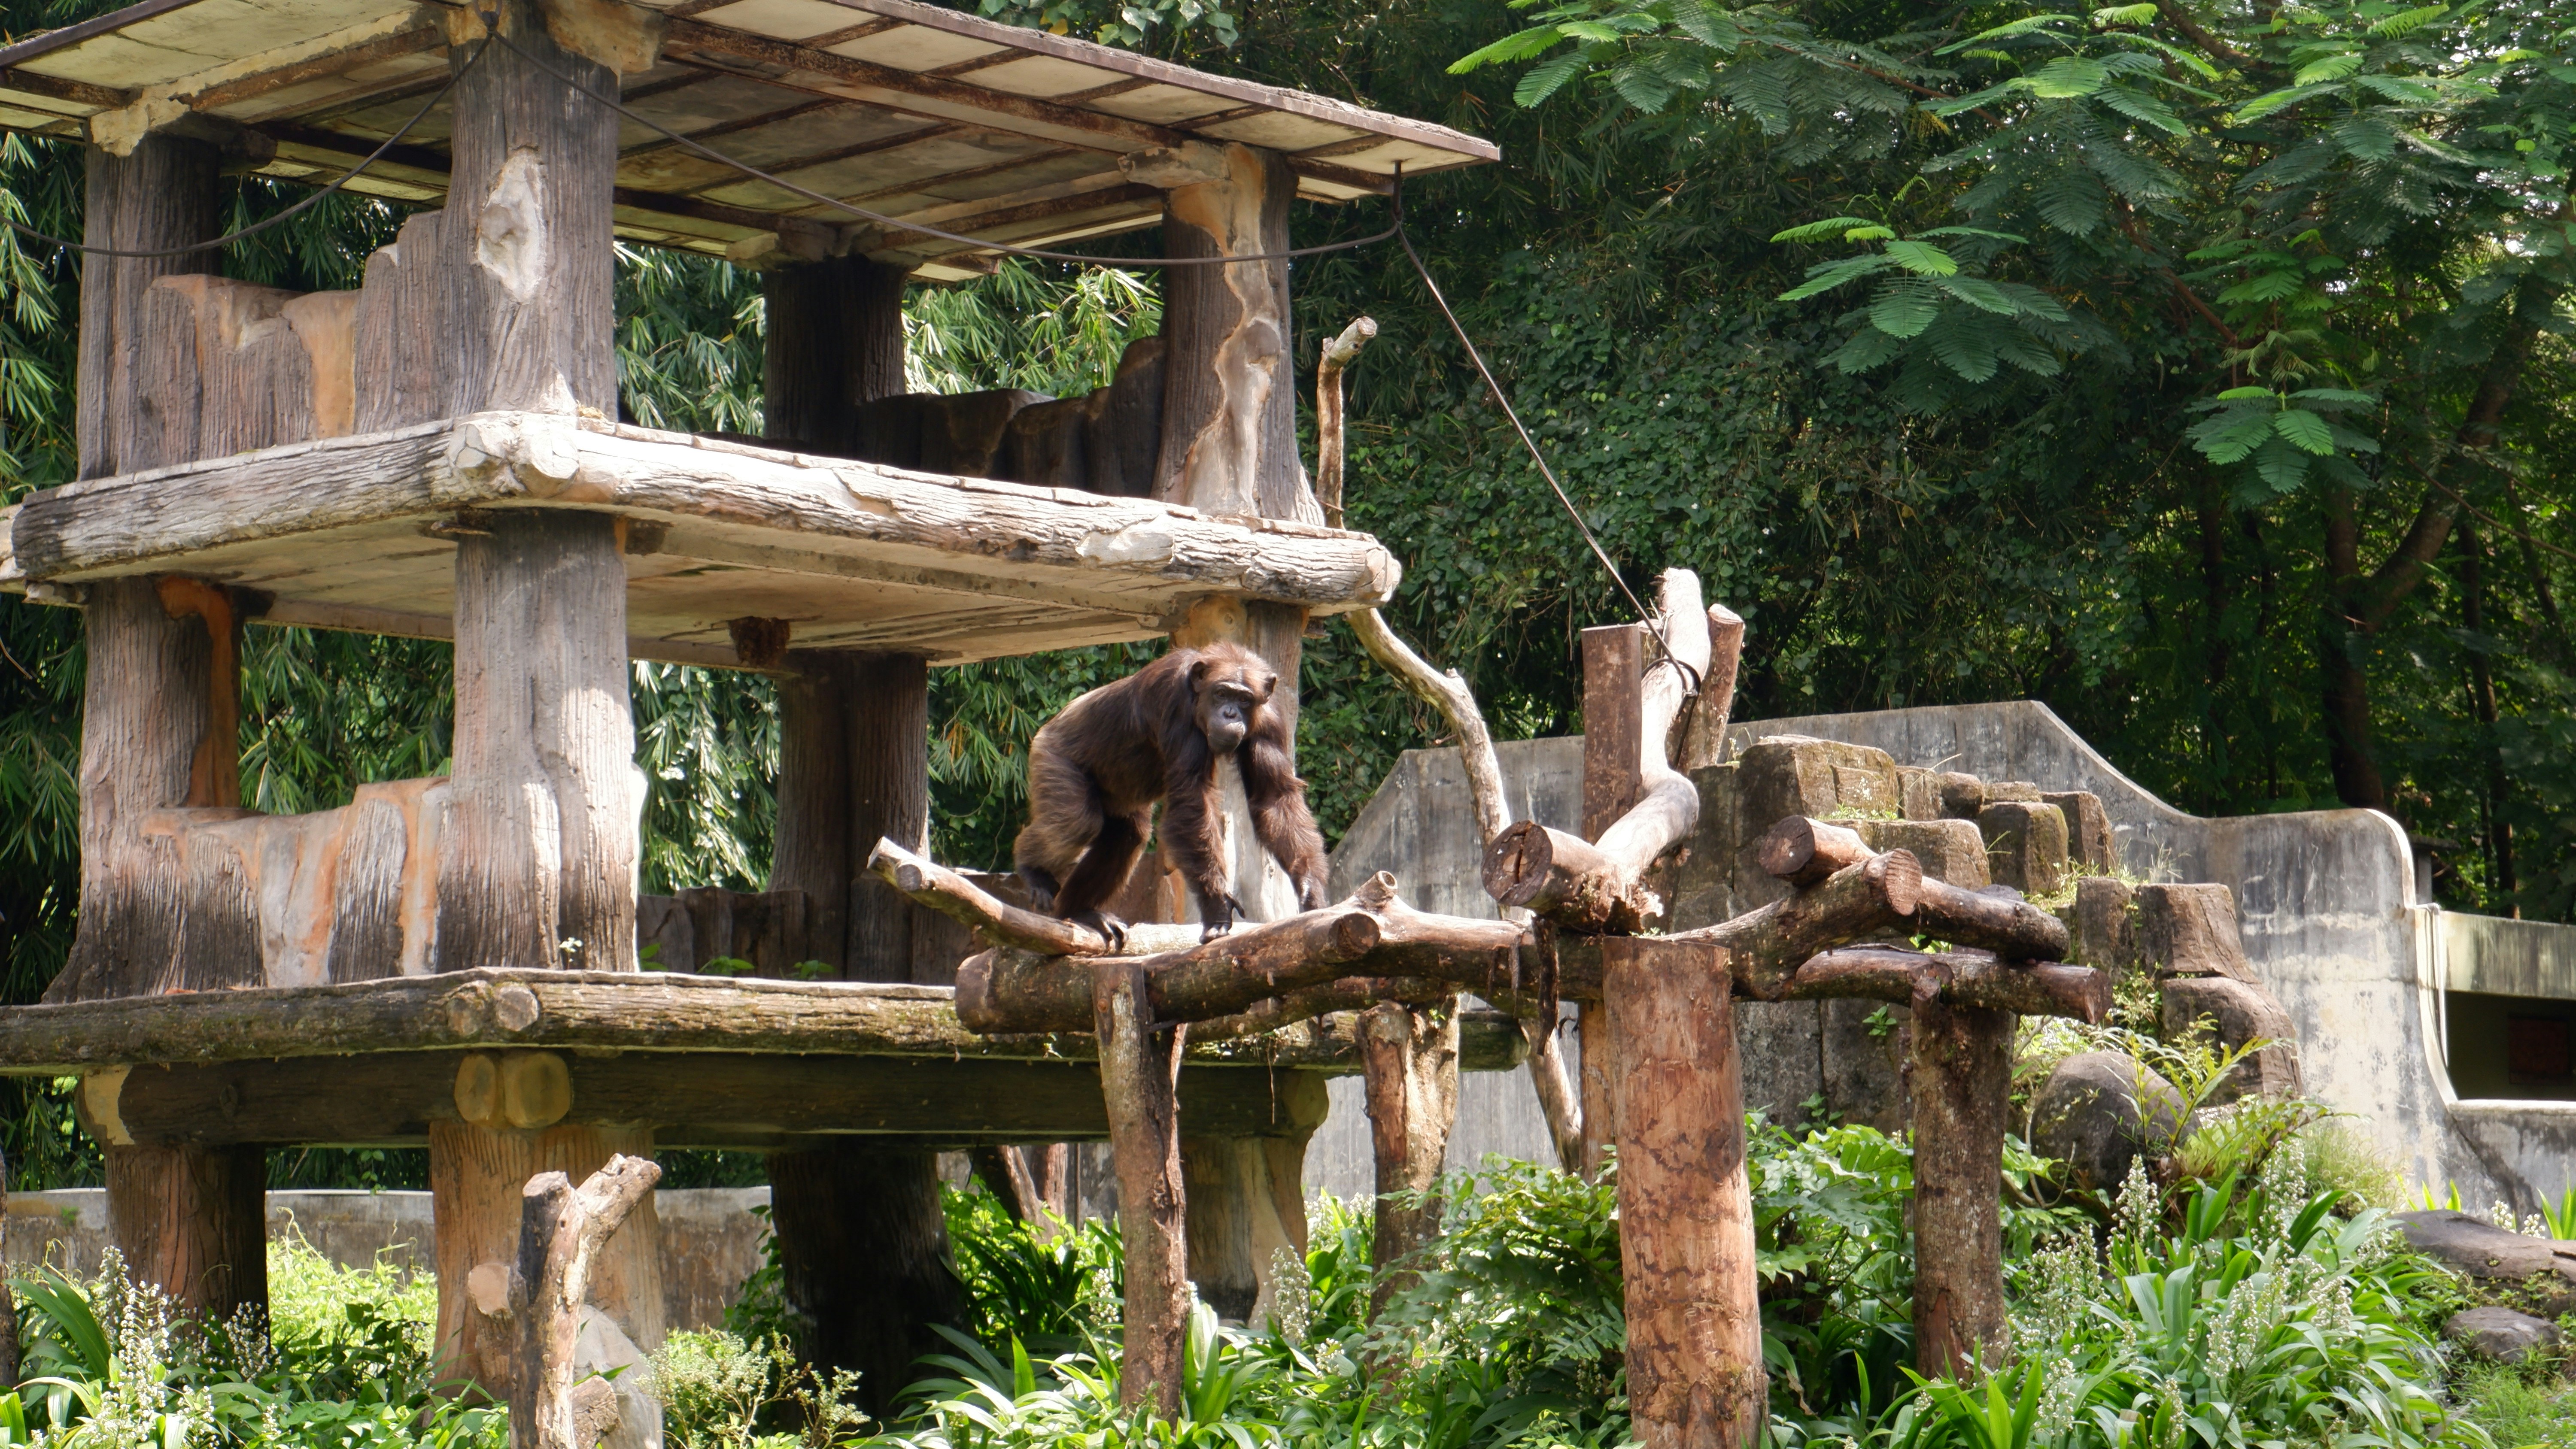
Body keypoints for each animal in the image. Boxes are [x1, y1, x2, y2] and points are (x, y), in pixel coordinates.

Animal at [1014, 642, 1330, 946]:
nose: (1230, 713)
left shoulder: (1272, 722)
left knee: (1127, 836)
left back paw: (1080, 911)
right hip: (1053, 759)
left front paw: (1310, 887)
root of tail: (1045, 729)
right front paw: (1217, 907)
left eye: (1244, 700)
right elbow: (1192, 801)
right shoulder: (1174, 702)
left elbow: (1274, 796)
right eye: (1221, 693)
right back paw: (1032, 870)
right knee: (1076, 822)